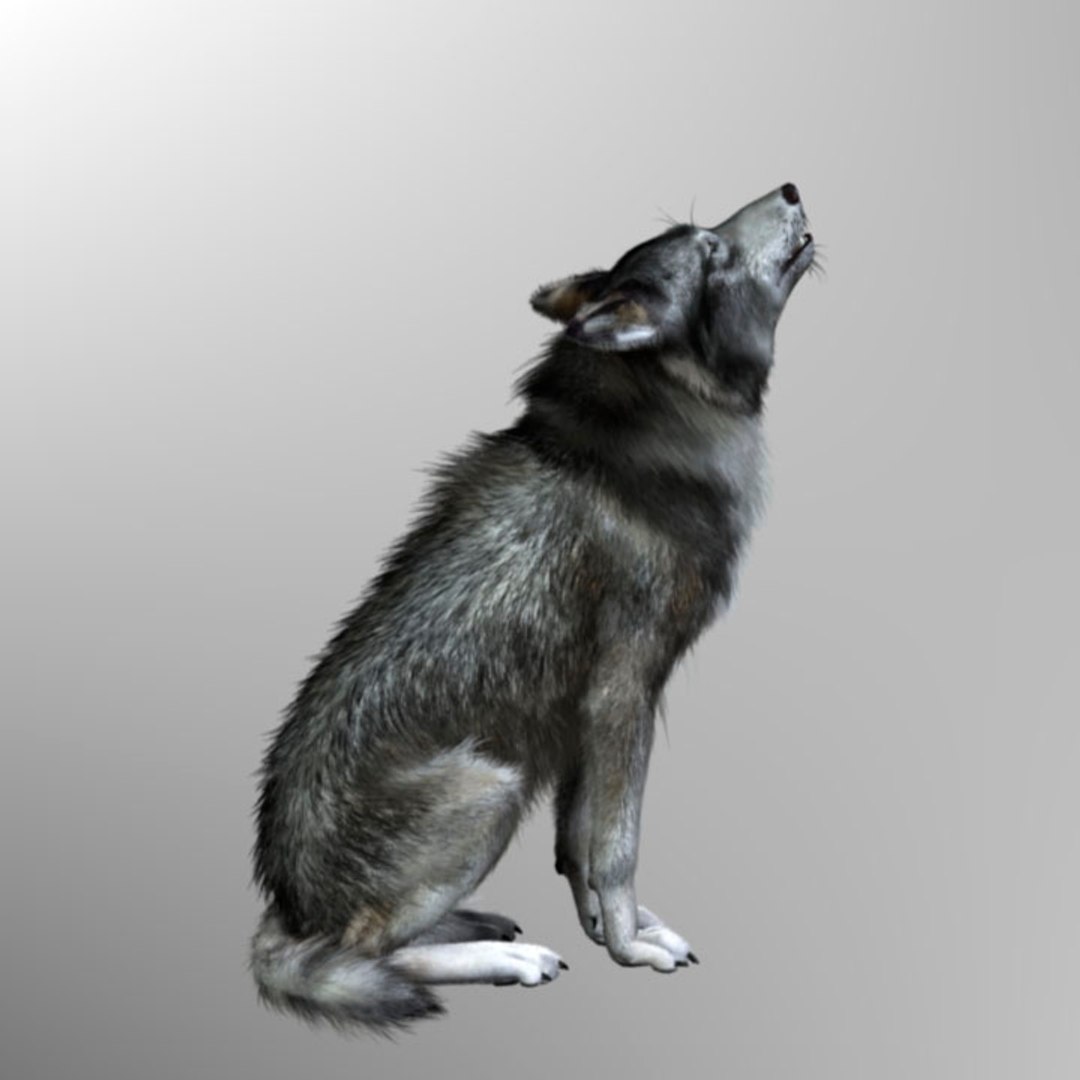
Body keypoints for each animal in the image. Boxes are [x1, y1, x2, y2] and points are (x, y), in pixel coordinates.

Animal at [251, 184, 816, 1031]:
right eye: (710, 254)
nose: (789, 188)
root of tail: (283, 908)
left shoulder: (586, 720)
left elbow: (576, 847)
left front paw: (606, 930)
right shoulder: (622, 695)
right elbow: (616, 848)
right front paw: (629, 949)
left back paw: (477, 922)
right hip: (494, 787)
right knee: (367, 955)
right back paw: (505, 959)